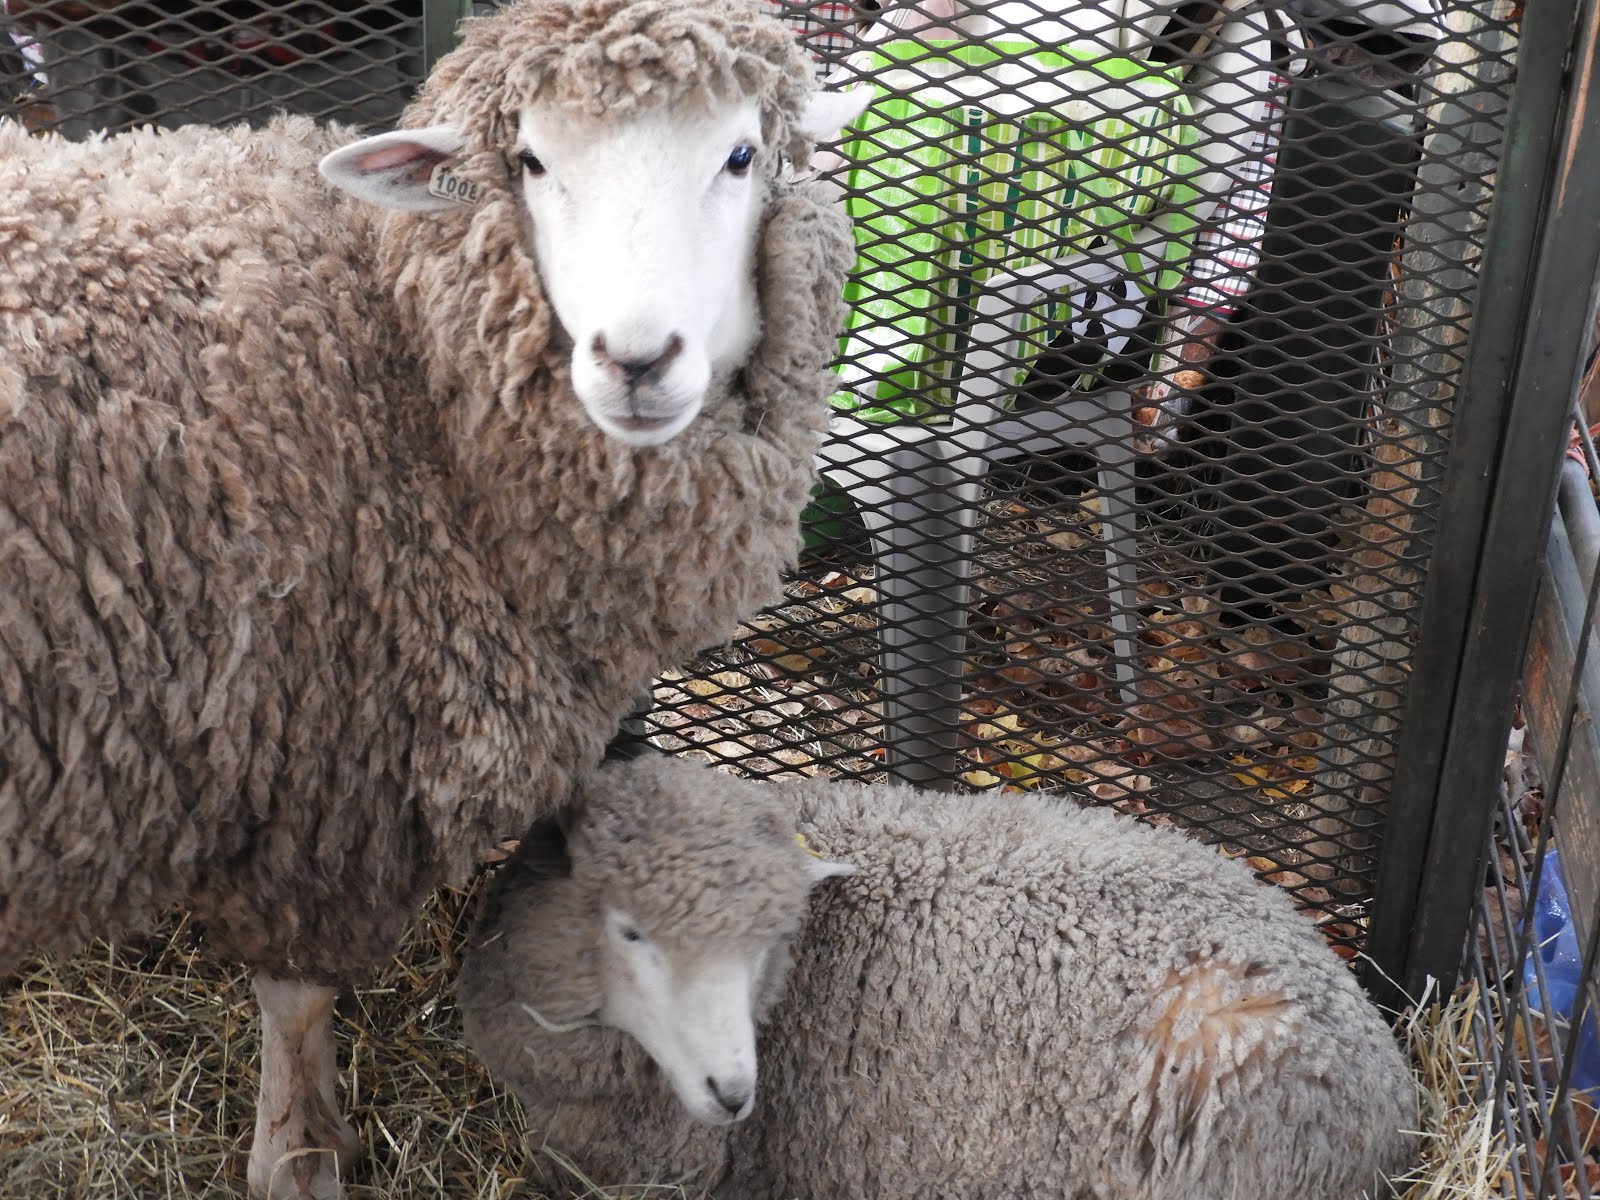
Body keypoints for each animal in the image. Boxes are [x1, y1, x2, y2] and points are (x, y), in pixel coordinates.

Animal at [0, 0, 868, 1194]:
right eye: (533, 160)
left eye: (742, 156)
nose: (638, 360)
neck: (395, 350)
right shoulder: (328, 777)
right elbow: (298, 996)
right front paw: (302, 1152)